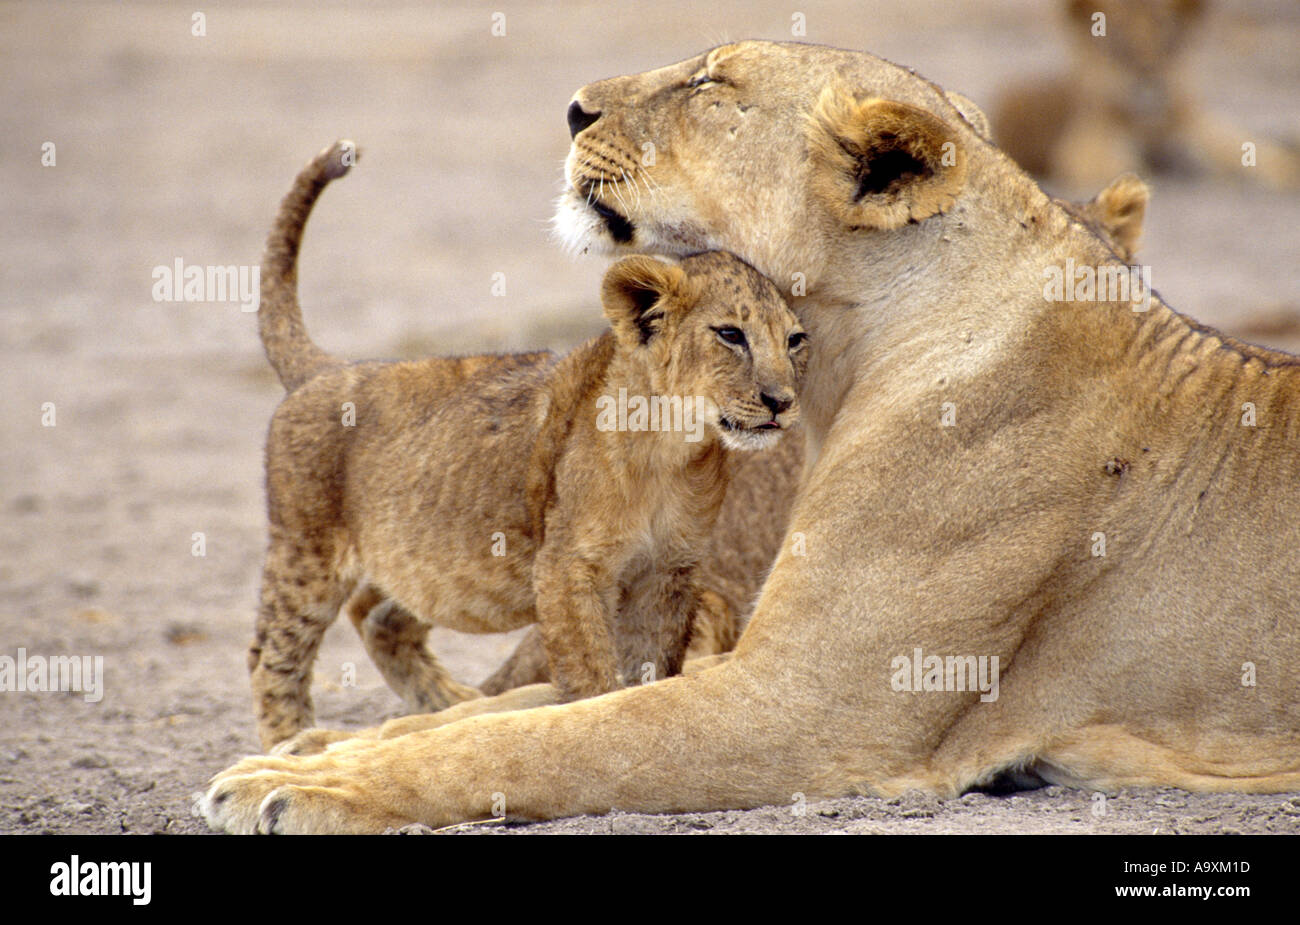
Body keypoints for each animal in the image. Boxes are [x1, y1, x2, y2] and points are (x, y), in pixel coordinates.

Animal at [247, 141, 805, 751]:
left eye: (795, 341)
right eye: (730, 335)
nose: (781, 401)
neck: (672, 448)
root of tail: (324, 369)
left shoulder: (671, 569)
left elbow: (653, 666)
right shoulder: (567, 566)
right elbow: (590, 674)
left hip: (423, 556)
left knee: (378, 614)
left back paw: (449, 702)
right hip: (306, 553)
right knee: (271, 655)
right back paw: (288, 739)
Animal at [993, 0, 1300, 191]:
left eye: (1166, 45)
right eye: (1121, 49)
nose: (1148, 76)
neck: (1147, 122)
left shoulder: (1209, 131)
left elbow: (1257, 155)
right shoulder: (1078, 151)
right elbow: (1121, 165)